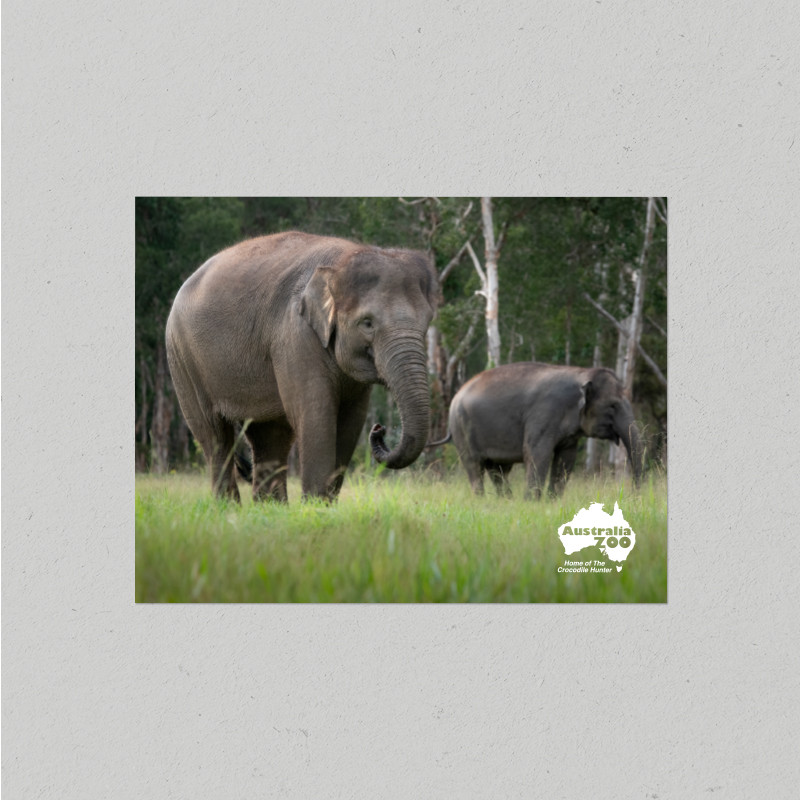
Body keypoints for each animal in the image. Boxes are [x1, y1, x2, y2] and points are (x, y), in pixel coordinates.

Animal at [165, 231, 438, 502]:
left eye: (427, 321)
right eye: (367, 323)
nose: (379, 429)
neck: (342, 260)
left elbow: (351, 422)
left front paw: (325, 506)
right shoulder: (295, 335)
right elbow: (316, 414)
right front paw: (315, 506)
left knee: (270, 435)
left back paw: (270, 508)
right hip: (182, 358)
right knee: (215, 436)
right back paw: (228, 506)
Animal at [434, 362, 643, 499]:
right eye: (613, 406)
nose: (633, 495)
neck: (583, 373)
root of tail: (456, 395)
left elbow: (566, 459)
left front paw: (552, 501)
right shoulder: (543, 414)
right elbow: (537, 453)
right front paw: (532, 502)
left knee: (497, 469)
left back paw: (506, 501)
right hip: (461, 429)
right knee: (474, 466)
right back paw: (483, 501)